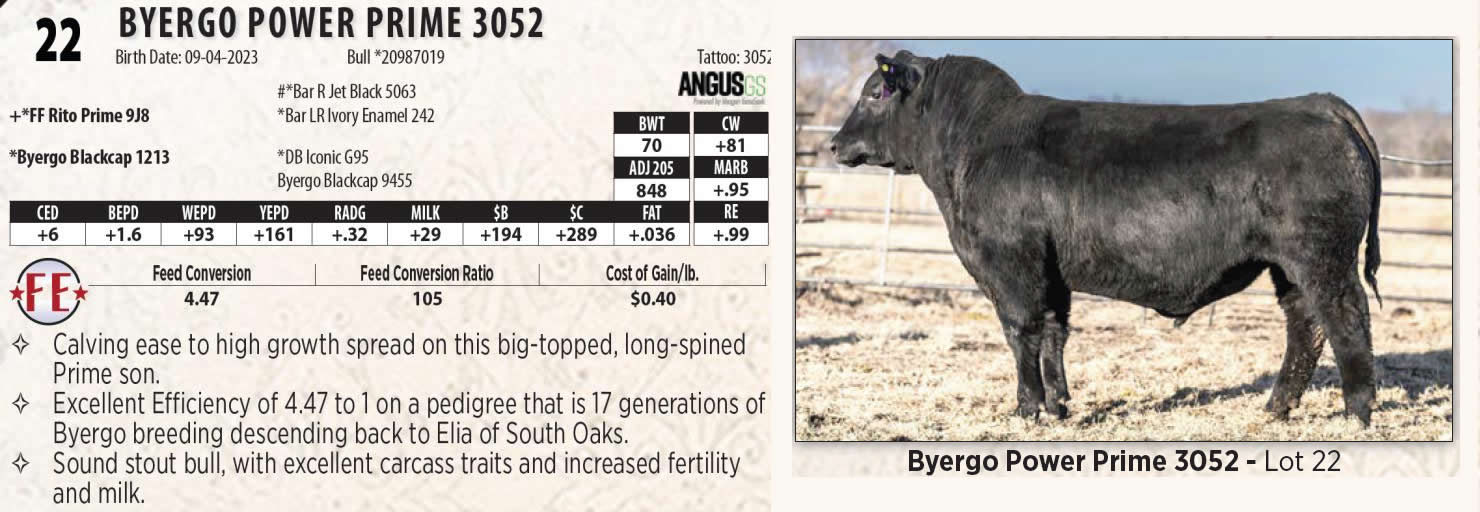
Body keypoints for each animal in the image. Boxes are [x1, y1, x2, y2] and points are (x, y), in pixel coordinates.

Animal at [829, 50, 1382, 426]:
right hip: (1289, 266)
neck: (970, 146)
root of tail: (1320, 103)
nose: (834, 143)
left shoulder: (1010, 265)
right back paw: (1276, 408)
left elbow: (1021, 331)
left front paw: (1026, 408)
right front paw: (1059, 405)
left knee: (1345, 317)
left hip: (1322, 257)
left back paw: (1356, 411)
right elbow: (1054, 332)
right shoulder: (1051, 274)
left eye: (874, 93)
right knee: (1305, 325)